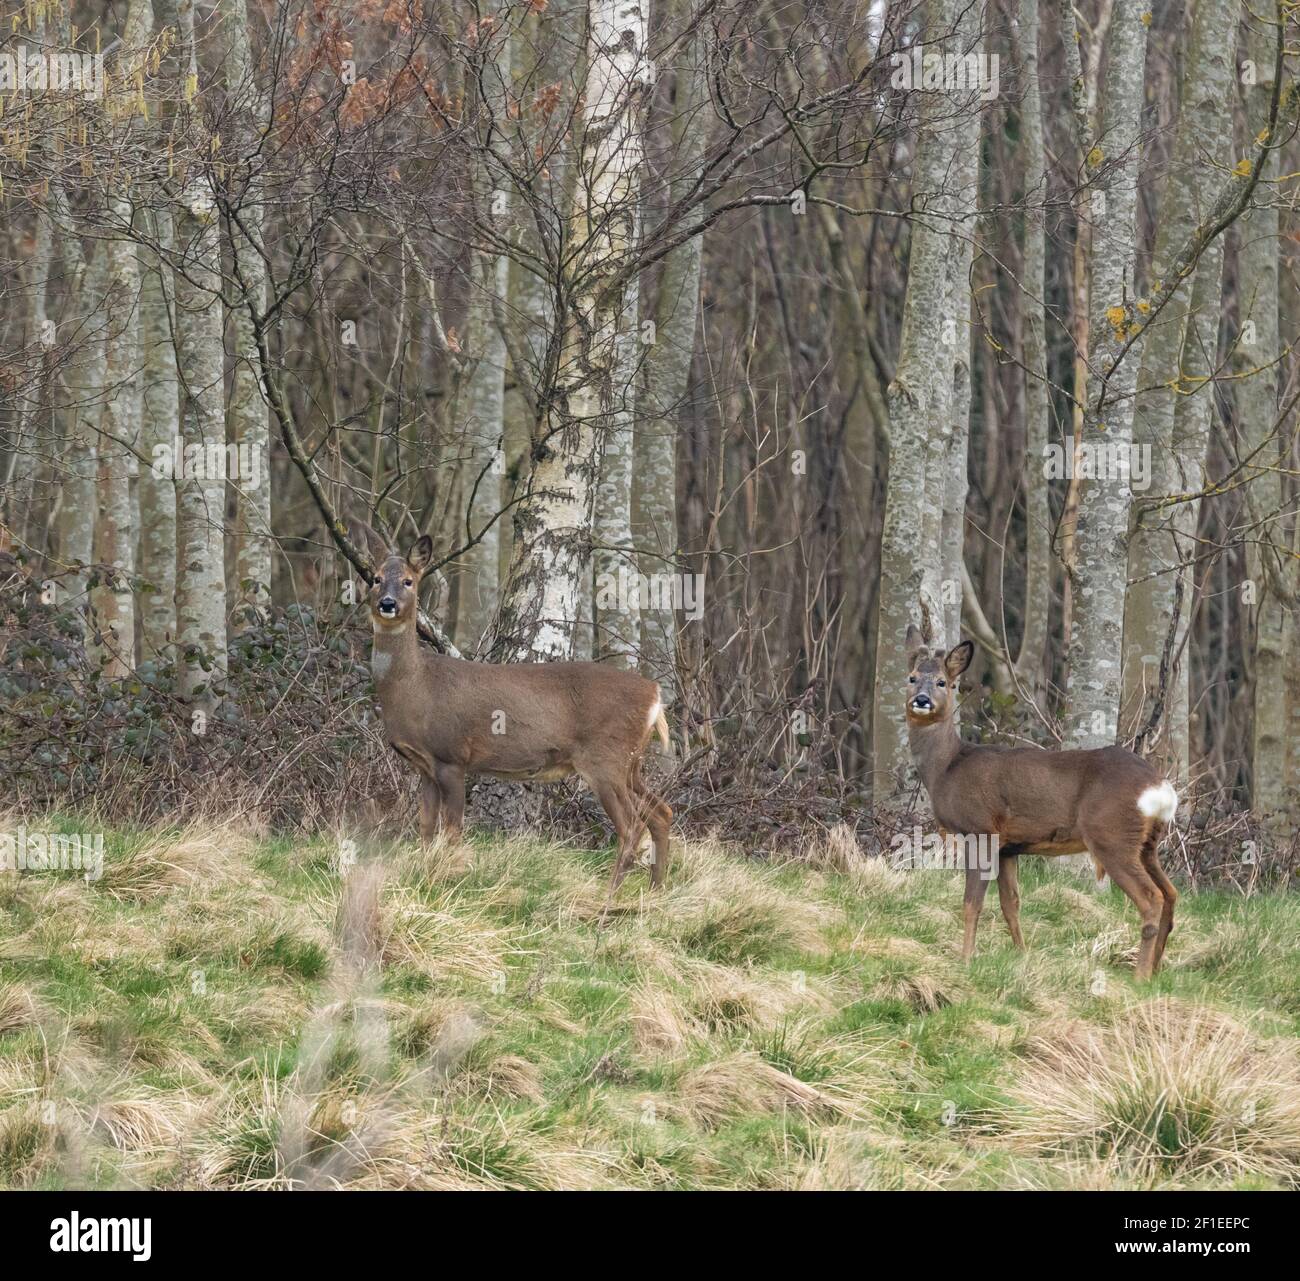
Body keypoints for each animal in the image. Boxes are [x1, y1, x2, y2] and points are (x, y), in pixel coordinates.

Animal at [350, 521, 673, 893]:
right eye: (375, 578)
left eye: (408, 580)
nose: (387, 603)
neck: (416, 687)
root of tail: (655, 695)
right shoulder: (425, 766)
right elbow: (426, 829)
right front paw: (425, 877)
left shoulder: (452, 756)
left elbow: (453, 831)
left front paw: (450, 882)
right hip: (630, 763)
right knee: (662, 813)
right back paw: (656, 891)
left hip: (605, 758)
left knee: (632, 825)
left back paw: (609, 896)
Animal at [902, 625, 1179, 980]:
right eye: (911, 677)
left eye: (942, 682)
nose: (921, 700)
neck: (947, 768)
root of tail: (1160, 788)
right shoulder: (1009, 846)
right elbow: (1011, 904)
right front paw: (1022, 955)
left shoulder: (980, 829)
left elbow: (971, 903)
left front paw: (964, 960)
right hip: (1146, 843)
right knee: (1170, 894)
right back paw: (1155, 971)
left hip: (1111, 834)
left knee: (1151, 898)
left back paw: (1140, 975)